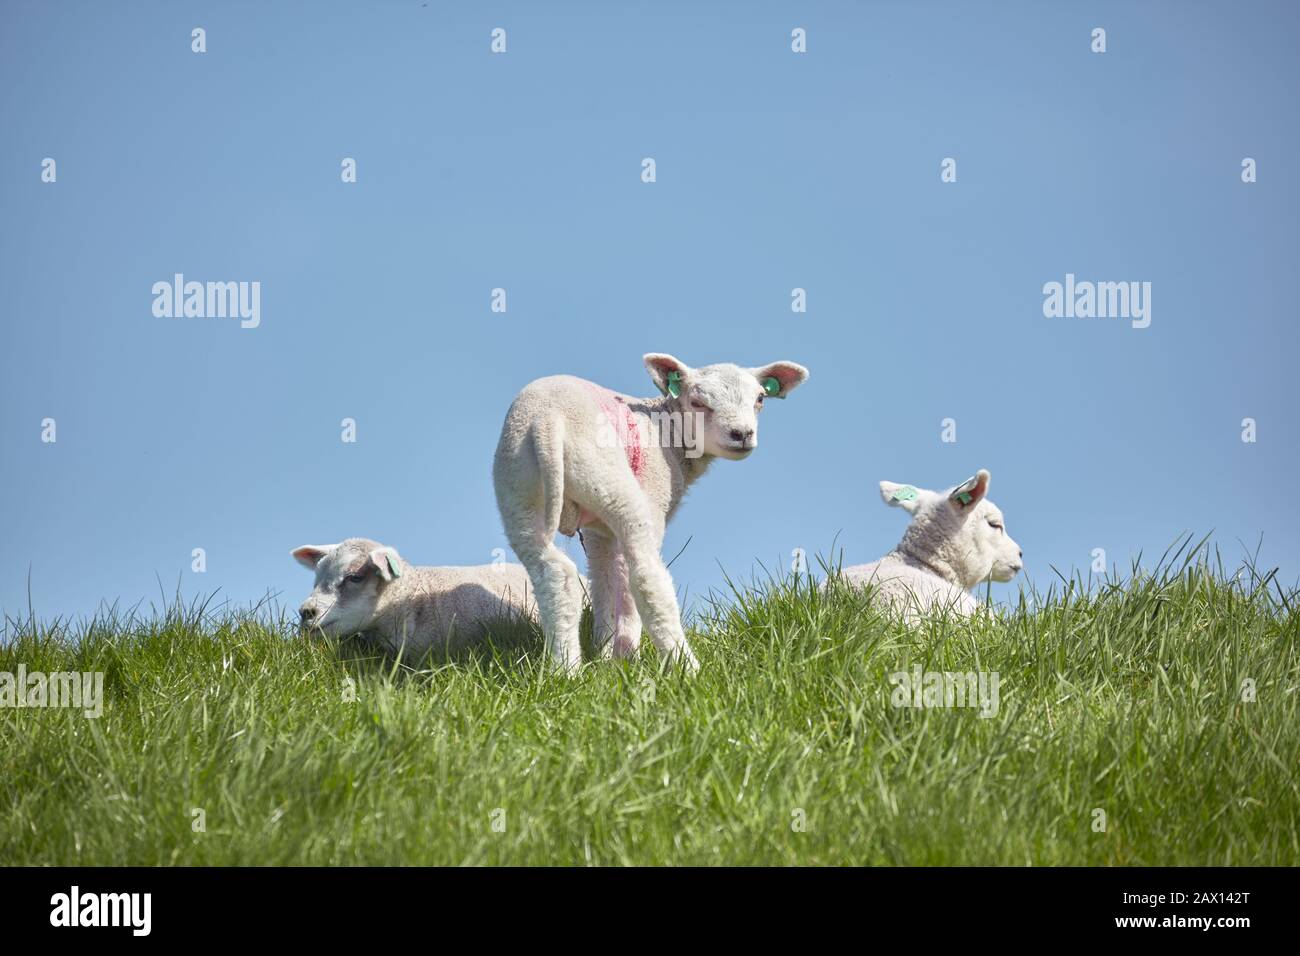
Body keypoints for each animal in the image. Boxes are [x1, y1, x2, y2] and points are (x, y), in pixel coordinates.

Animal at [493, 353, 810, 673]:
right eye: (697, 402)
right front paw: (624, 657)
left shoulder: (596, 531)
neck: (668, 430)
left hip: (520, 489)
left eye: (760, 399)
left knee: (554, 573)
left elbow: (604, 583)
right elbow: (622, 584)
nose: (742, 434)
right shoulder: (653, 494)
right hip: (616, 486)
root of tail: (547, 422)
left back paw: (567, 670)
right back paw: (686, 667)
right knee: (645, 577)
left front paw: (604, 656)